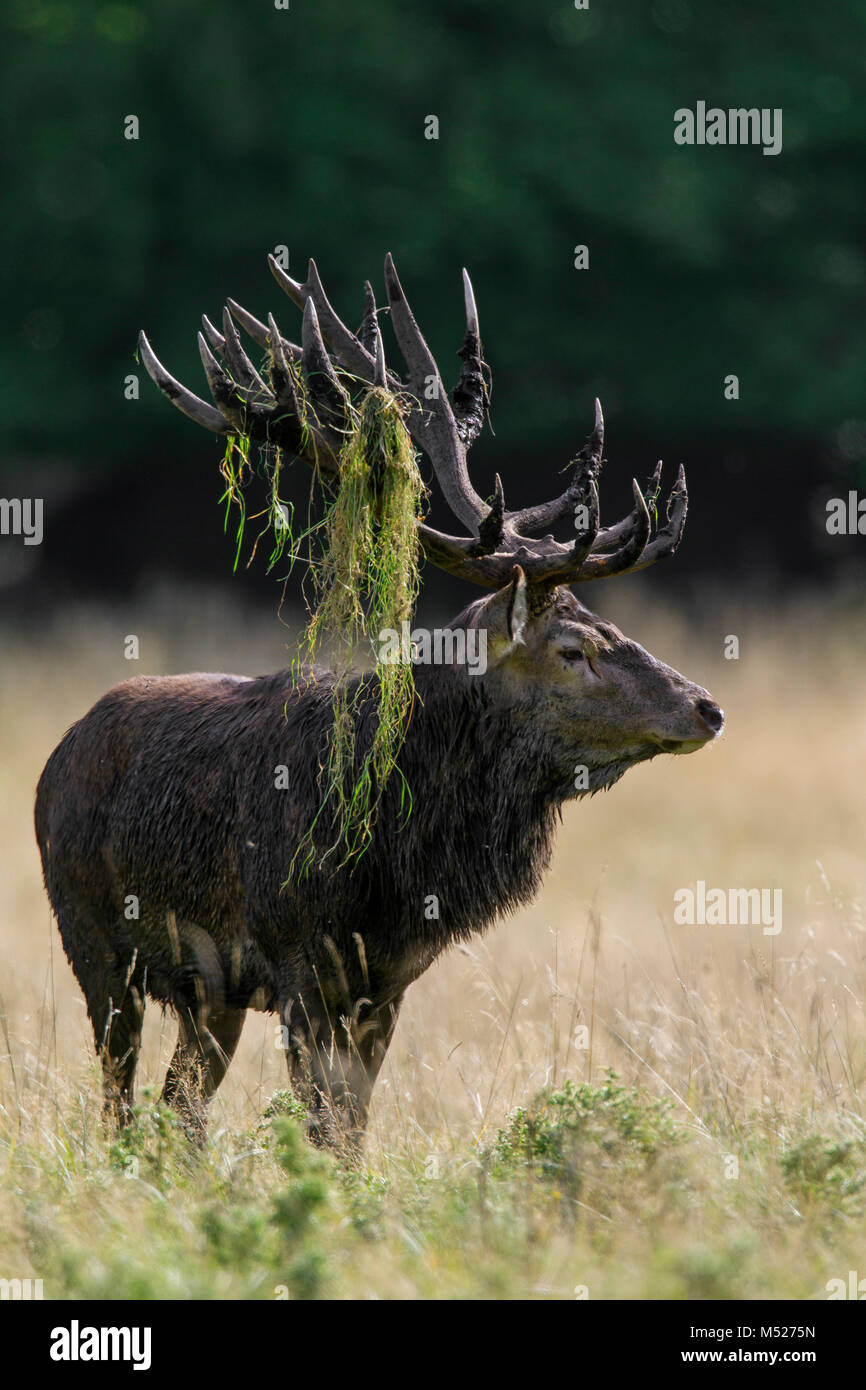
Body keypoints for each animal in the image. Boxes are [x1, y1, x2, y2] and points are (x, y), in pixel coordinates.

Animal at [35, 252, 724, 1150]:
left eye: (611, 625)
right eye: (573, 650)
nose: (705, 707)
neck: (396, 862)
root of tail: (54, 760)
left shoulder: (389, 978)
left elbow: (352, 1127)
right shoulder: (298, 955)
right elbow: (321, 1125)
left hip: (210, 995)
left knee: (177, 1110)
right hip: (92, 941)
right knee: (119, 1101)